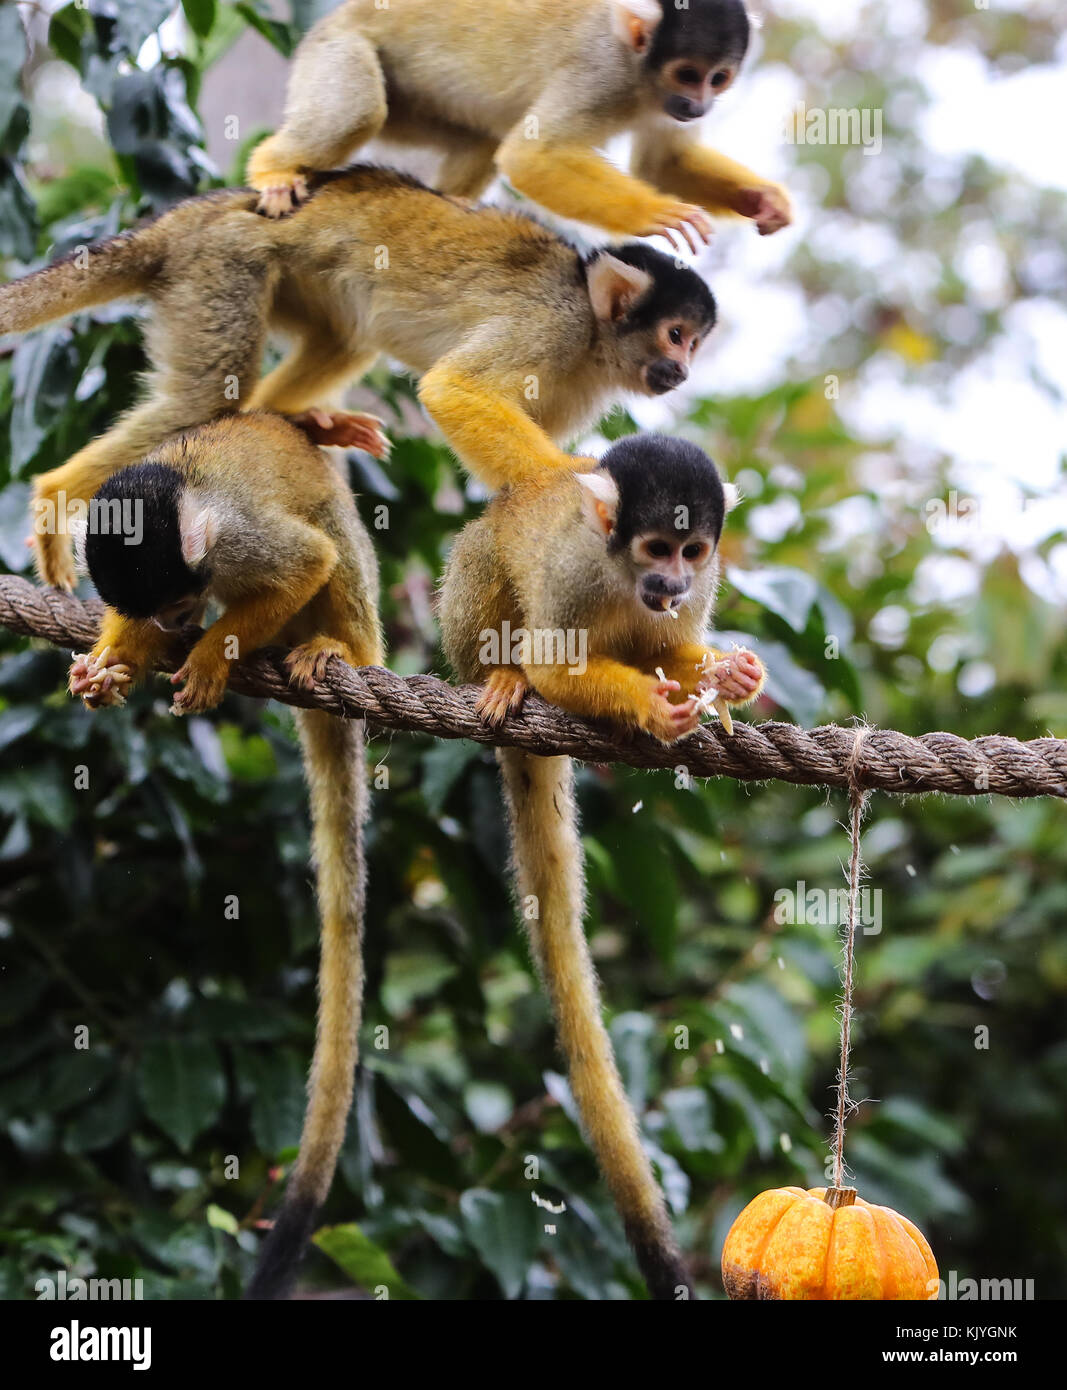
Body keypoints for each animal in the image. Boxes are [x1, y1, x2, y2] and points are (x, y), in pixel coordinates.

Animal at [0, 165, 718, 593]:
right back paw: (55, 496)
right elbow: (454, 390)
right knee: (205, 394)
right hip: (223, 262)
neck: (595, 339)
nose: (682, 370)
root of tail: (199, 214)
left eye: (694, 343)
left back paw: (300, 420)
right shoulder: (553, 322)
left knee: (343, 338)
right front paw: (567, 479)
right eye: (675, 335)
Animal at [66, 409, 383, 1301]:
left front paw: (209, 657)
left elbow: (304, 560)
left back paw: (338, 651)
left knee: (333, 541)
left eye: (180, 599)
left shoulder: (236, 541)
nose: (176, 624)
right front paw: (115, 660)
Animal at [247, 0, 791, 249]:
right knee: (359, 111)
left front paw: (764, 201)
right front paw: (657, 214)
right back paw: (274, 170)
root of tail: (337, 16)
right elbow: (531, 154)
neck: (643, 77)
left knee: (482, 137)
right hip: (337, 47)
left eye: (718, 79)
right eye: (687, 74)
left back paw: (451, 206)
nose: (699, 106)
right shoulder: (601, 71)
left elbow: (664, 163)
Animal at [438, 433, 765, 1299]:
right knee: (487, 569)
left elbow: (672, 647)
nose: (671, 582)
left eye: (692, 552)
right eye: (655, 548)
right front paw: (649, 706)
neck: (625, 575)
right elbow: (557, 666)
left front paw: (728, 676)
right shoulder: (576, 570)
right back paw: (502, 678)